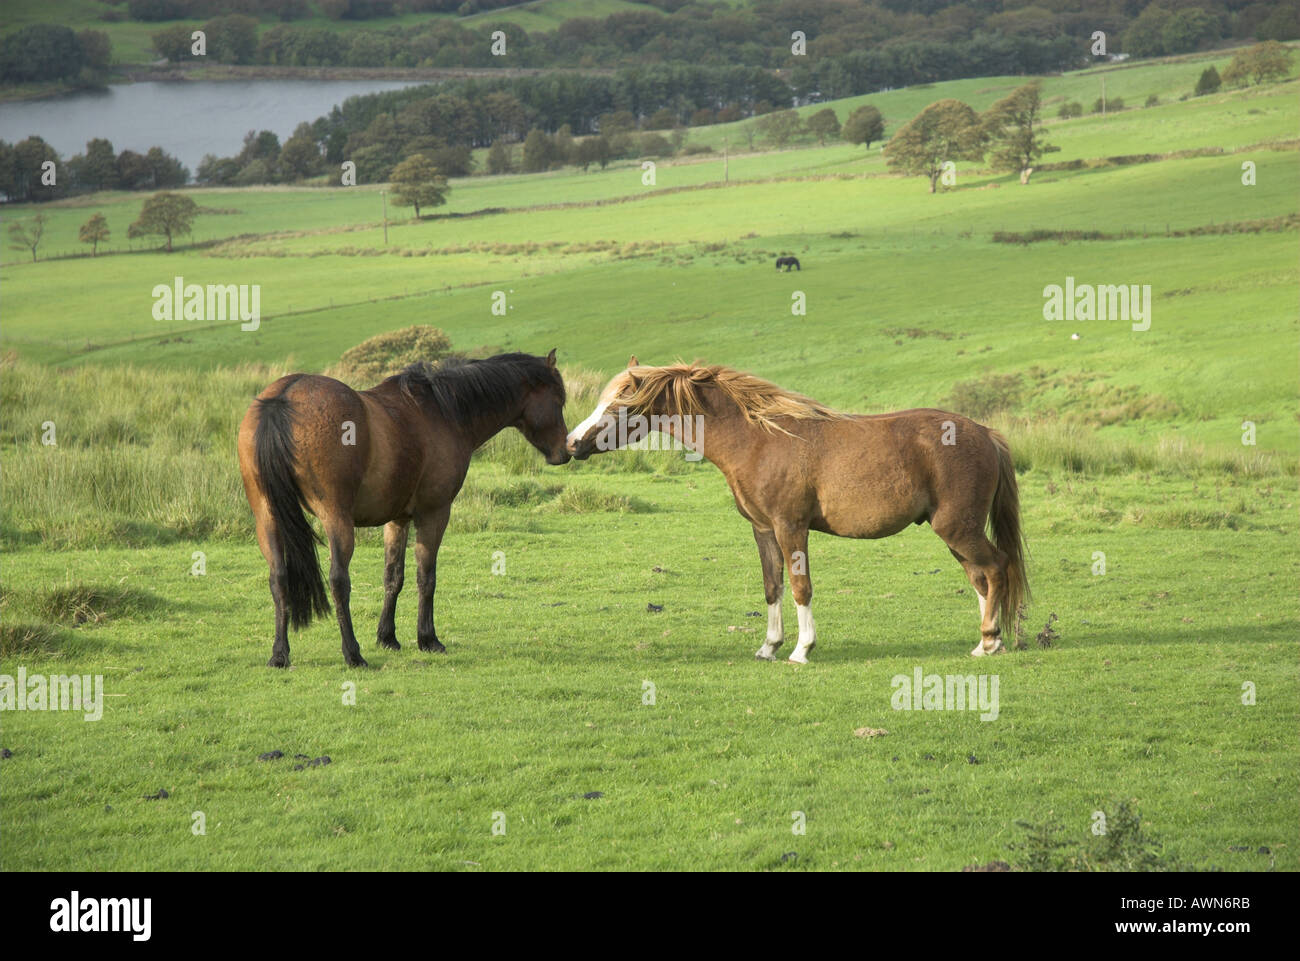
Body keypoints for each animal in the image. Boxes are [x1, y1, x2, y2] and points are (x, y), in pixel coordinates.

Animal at [237, 350, 570, 668]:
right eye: (559, 400)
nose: (564, 452)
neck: (443, 413)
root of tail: (283, 398)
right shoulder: (434, 514)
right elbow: (426, 577)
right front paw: (428, 638)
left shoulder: (397, 520)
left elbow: (393, 576)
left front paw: (387, 637)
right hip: (336, 519)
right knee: (338, 581)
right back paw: (353, 654)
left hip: (267, 518)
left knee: (279, 578)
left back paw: (280, 654)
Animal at [566, 358, 1027, 662]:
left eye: (619, 405)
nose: (572, 443)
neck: (759, 439)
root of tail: (984, 433)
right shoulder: (763, 529)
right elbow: (773, 586)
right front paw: (769, 646)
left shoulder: (791, 527)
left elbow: (800, 586)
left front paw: (802, 649)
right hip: (955, 532)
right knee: (981, 578)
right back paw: (987, 641)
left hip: (957, 528)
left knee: (995, 568)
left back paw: (990, 639)